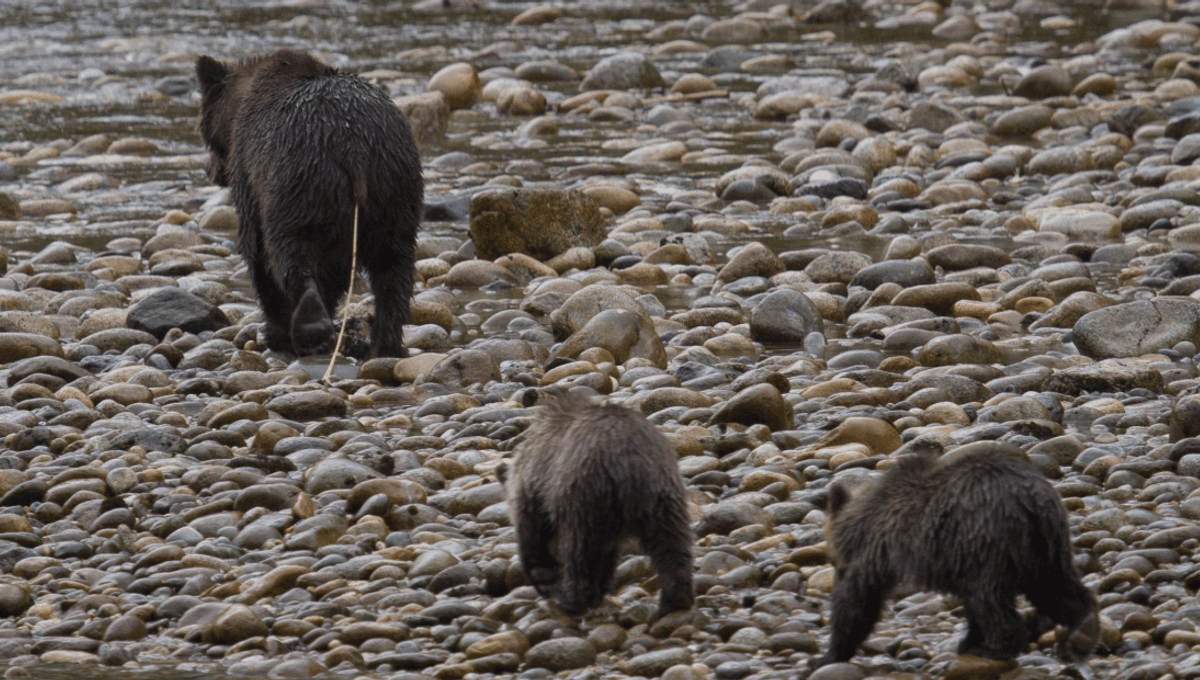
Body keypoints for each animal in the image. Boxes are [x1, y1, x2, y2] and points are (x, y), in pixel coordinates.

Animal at [196, 49, 422, 358]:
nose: (209, 169)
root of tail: (354, 146)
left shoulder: (251, 173)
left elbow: (256, 249)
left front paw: (275, 332)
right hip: (394, 187)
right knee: (393, 266)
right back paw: (384, 344)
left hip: (301, 181)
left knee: (291, 252)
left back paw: (310, 328)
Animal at [500, 392, 694, 617]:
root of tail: (629, 458)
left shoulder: (536, 482)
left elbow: (532, 533)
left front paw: (542, 576)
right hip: (662, 490)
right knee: (672, 543)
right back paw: (675, 600)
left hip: (585, 490)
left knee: (579, 548)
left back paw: (571, 599)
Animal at [812, 448, 1098, 669]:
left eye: (835, 561)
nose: (835, 571)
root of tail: (1031, 500)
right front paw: (968, 640)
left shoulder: (878, 549)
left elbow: (859, 600)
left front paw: (829, 654)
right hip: (1048, 545)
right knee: (1056, 589)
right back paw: (1083, 630)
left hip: (991, 538)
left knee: (989, 598)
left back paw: (997, 648)